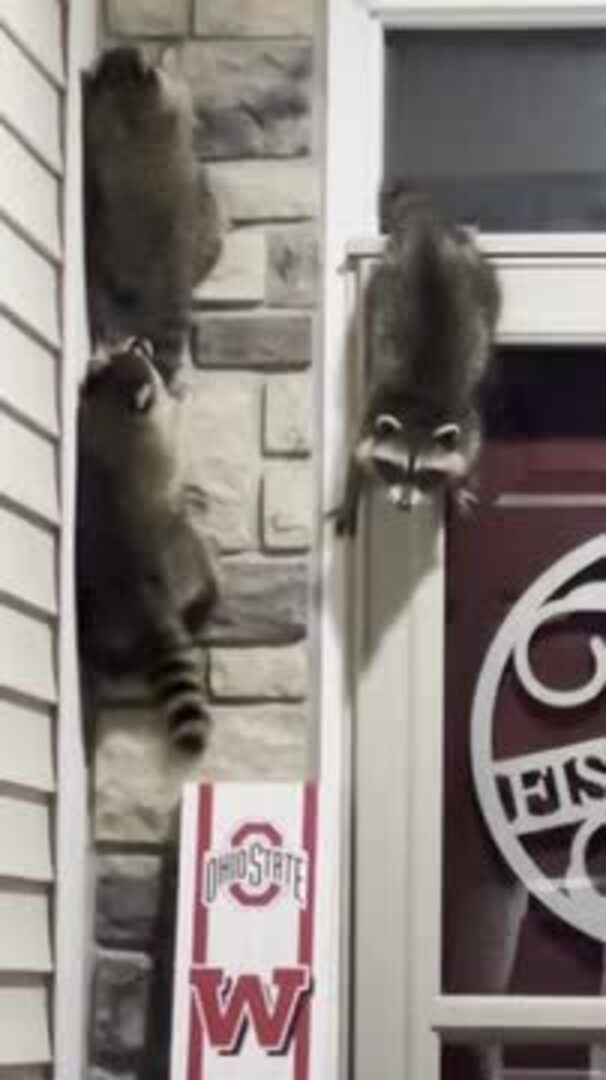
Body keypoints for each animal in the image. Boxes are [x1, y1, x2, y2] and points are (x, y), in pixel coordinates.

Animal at [77, 337, 218, 753]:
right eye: (136, 353)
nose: (142, 341)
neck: (119, 412)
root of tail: (150, 598)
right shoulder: (158, 428)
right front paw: (178, 387)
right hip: (186, 548)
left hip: (104, 607)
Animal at [334, 194, 501, 536]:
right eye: (396, 468)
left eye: (425, 472)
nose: (404, 504)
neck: (419, 410)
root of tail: (428, 224)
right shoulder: (372, 410)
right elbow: (355, 454)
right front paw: (351, 492)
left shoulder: (465, 416)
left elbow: (471, 448)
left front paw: (459, 482)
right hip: (382, 281)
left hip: (482, 279)